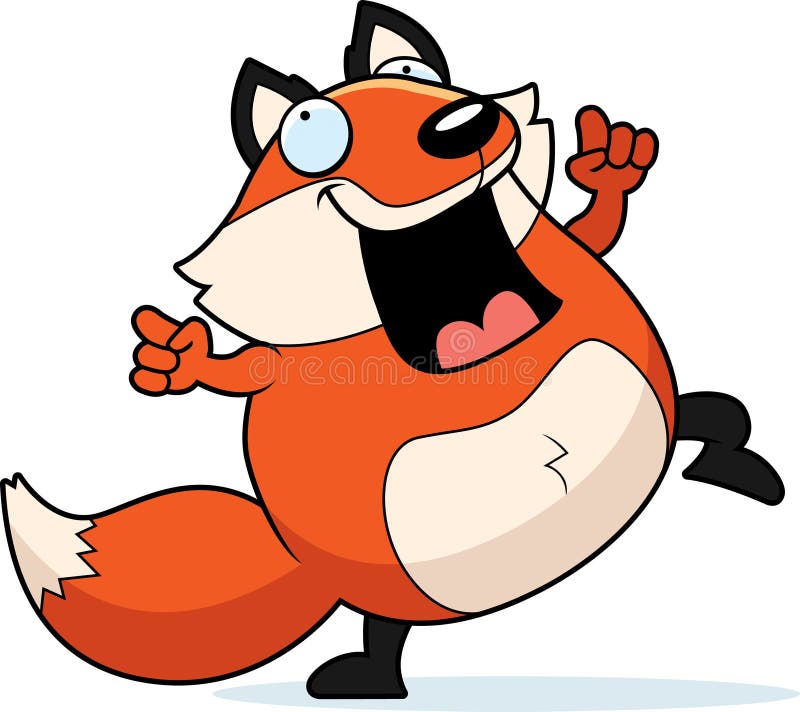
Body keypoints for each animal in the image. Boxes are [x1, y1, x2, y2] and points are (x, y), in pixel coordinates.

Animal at [2, 1, 784, 700]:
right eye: (310, 133)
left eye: (416, 74)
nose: (463, 123)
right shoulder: (279, 365)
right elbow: (243, 370)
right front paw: (176, 359)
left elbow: (595, 231)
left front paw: (606, 166)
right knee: (385, 632)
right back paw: (367, 679)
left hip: (666, 411)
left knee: (715, 414)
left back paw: (746, 471)